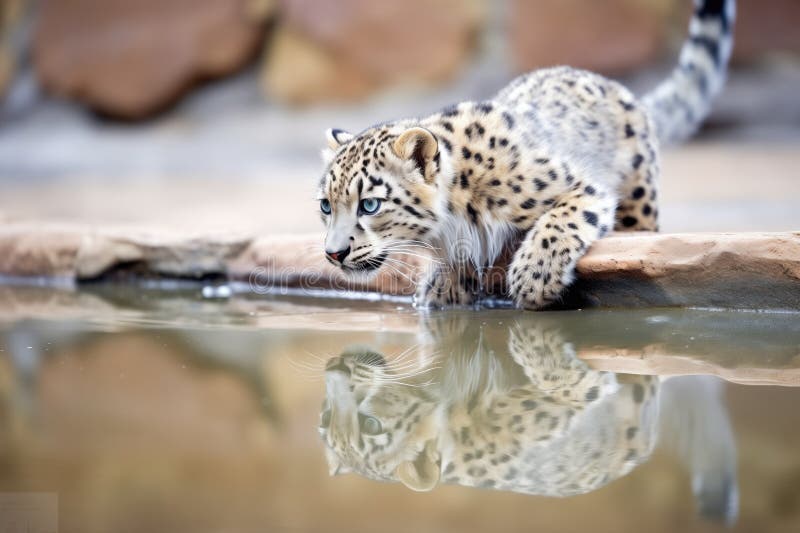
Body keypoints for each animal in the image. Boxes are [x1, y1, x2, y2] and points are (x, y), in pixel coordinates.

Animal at [316, 0, 735, 309]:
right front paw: (442, 287)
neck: (454, 220)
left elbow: (560, 221)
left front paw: (534, 277)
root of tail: (622, 90)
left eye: (370, 204)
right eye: (325, 205)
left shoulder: (579, 187)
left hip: (638, 202)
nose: (334, 254)